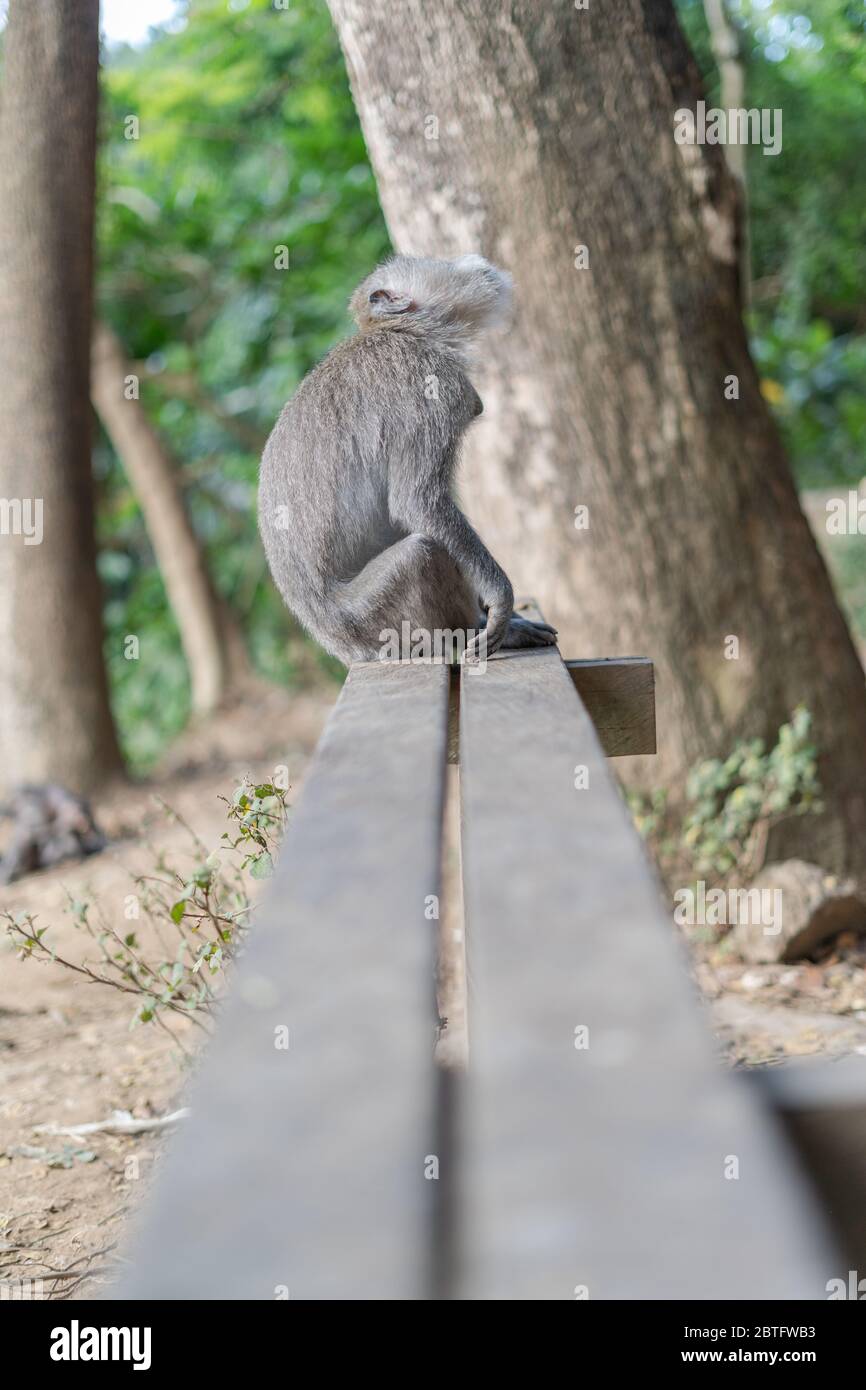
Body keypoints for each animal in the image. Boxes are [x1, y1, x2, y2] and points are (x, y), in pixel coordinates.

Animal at [258, 253, 557, 665]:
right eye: (433, 262)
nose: (462, 259)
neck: (404, 331)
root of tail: (344, 650)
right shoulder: (433, 383)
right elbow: (418, 504)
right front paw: (500, 604)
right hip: (375, 618)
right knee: (419, 553)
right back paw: (474, 631)